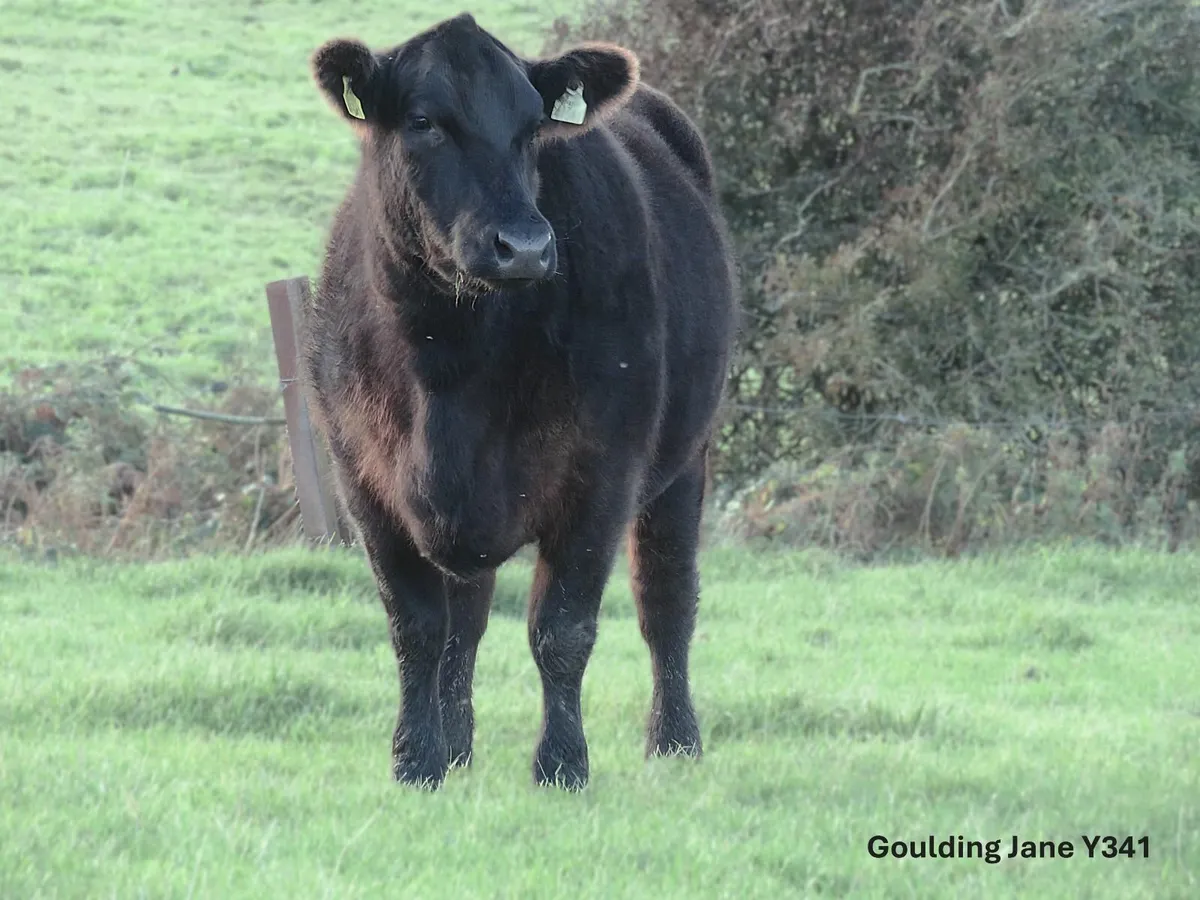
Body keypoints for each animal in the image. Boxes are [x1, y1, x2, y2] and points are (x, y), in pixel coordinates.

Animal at [304, 12, 734, 787]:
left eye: (533, 127)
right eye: (423, 121)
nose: (527, 246)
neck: (449, 366)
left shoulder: (601, 476)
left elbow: (561, 628)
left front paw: (561, 765)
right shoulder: (364, 481)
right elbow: (418, 627)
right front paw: (418, 760)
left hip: (686, 459)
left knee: (666, 600)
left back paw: (675, 741)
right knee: (466, 620)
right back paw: (458, 747)